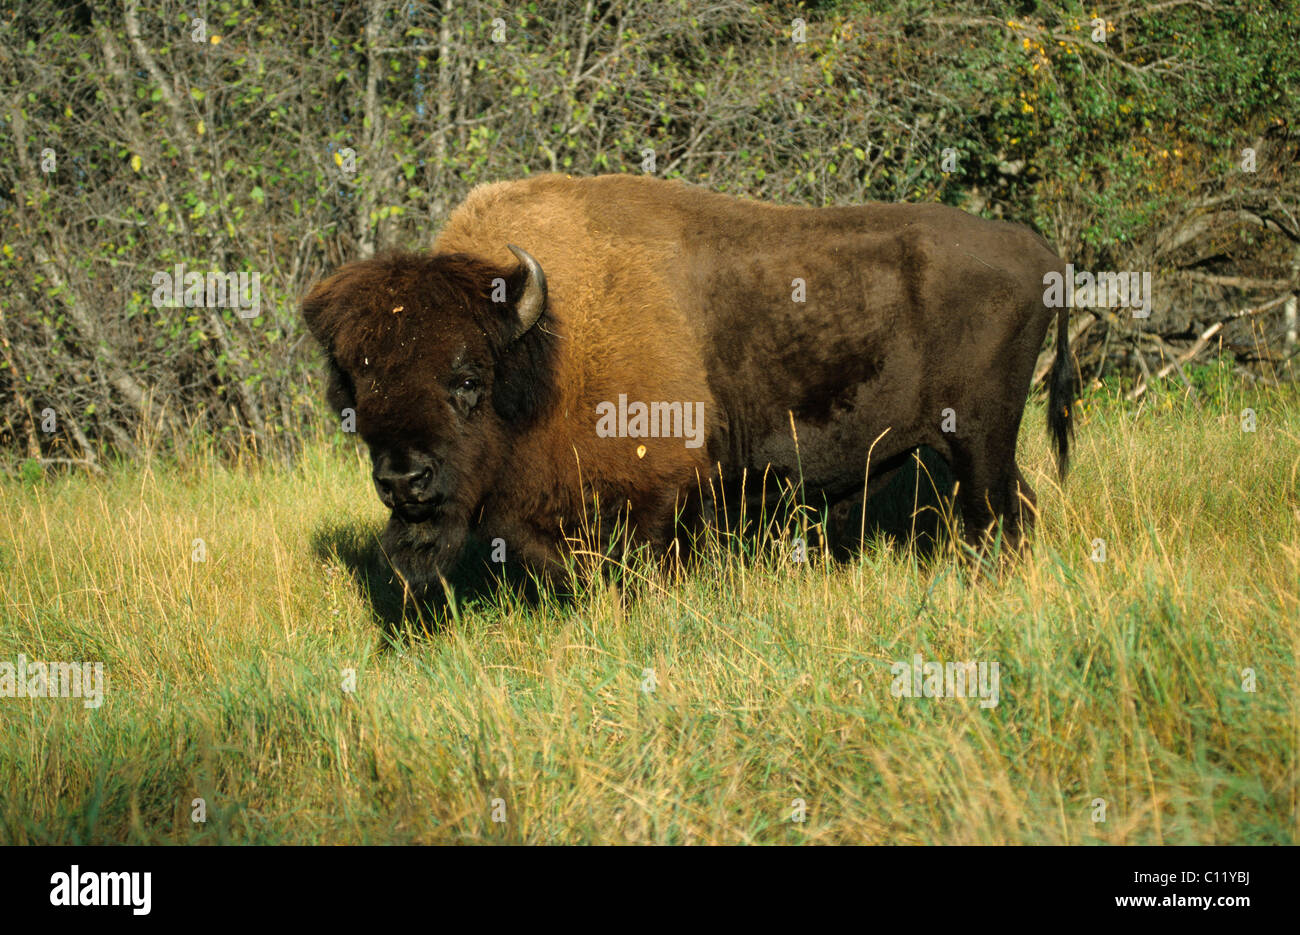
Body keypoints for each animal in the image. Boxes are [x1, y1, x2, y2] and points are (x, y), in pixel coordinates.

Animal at [302, 173, 1074, 592]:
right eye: (360, 394)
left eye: (466, 378)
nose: (404, 480)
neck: (548, 342)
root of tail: (1037, 249)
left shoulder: (658, 497)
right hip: (977, 447)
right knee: (1018, 509)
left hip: (977, 440)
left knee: (996, 518)